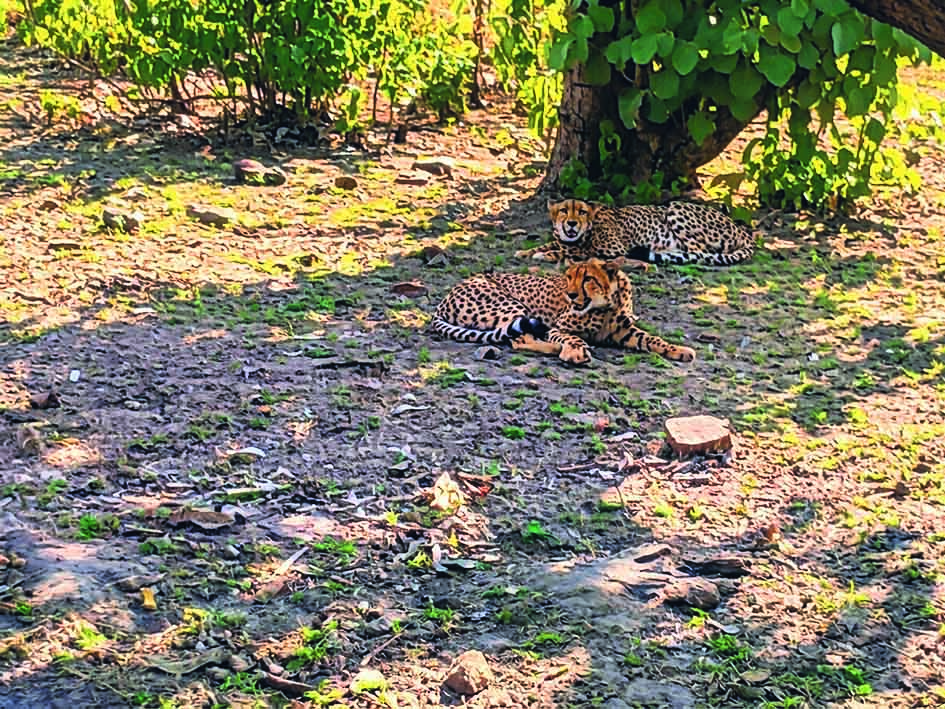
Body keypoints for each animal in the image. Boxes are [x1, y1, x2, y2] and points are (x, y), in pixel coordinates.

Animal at [429, 258, 696, 365]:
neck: (606, 304)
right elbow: (570, 337)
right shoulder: (559, 326)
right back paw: (558, 348)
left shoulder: (624, 332)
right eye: (568, 277)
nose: (571, 294)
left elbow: (652, 339)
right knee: (519, 338)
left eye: (587, 279)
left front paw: (679, 350)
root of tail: (444, 299)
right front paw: (575, 351)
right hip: (512, 305)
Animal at [516, 199, 756, 266]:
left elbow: (577, 251)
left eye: (581, 212)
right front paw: (526, 252)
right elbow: (553, 244)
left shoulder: (613, 248)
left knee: (700, 251)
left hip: (675, 207)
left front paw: (544, 255)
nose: (573, 223)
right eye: (564, 210)